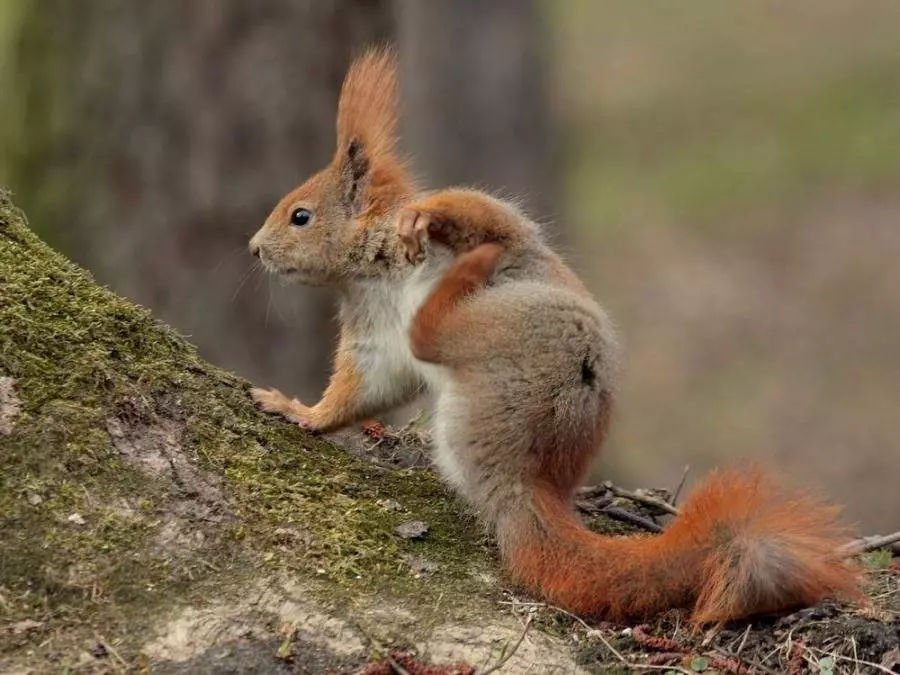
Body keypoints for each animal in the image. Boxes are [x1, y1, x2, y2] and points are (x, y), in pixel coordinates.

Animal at [244, 47, 856, 624]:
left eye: (300, 216)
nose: (253, 249)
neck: (373, 273)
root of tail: (524, 482)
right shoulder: (374, 335)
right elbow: (363, 389)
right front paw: (298, 411)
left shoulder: (496, 227)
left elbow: (477, 212)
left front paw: (424, 214)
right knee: (423, 342)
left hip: (514, 327)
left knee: (435, 330)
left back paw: (463, 276)